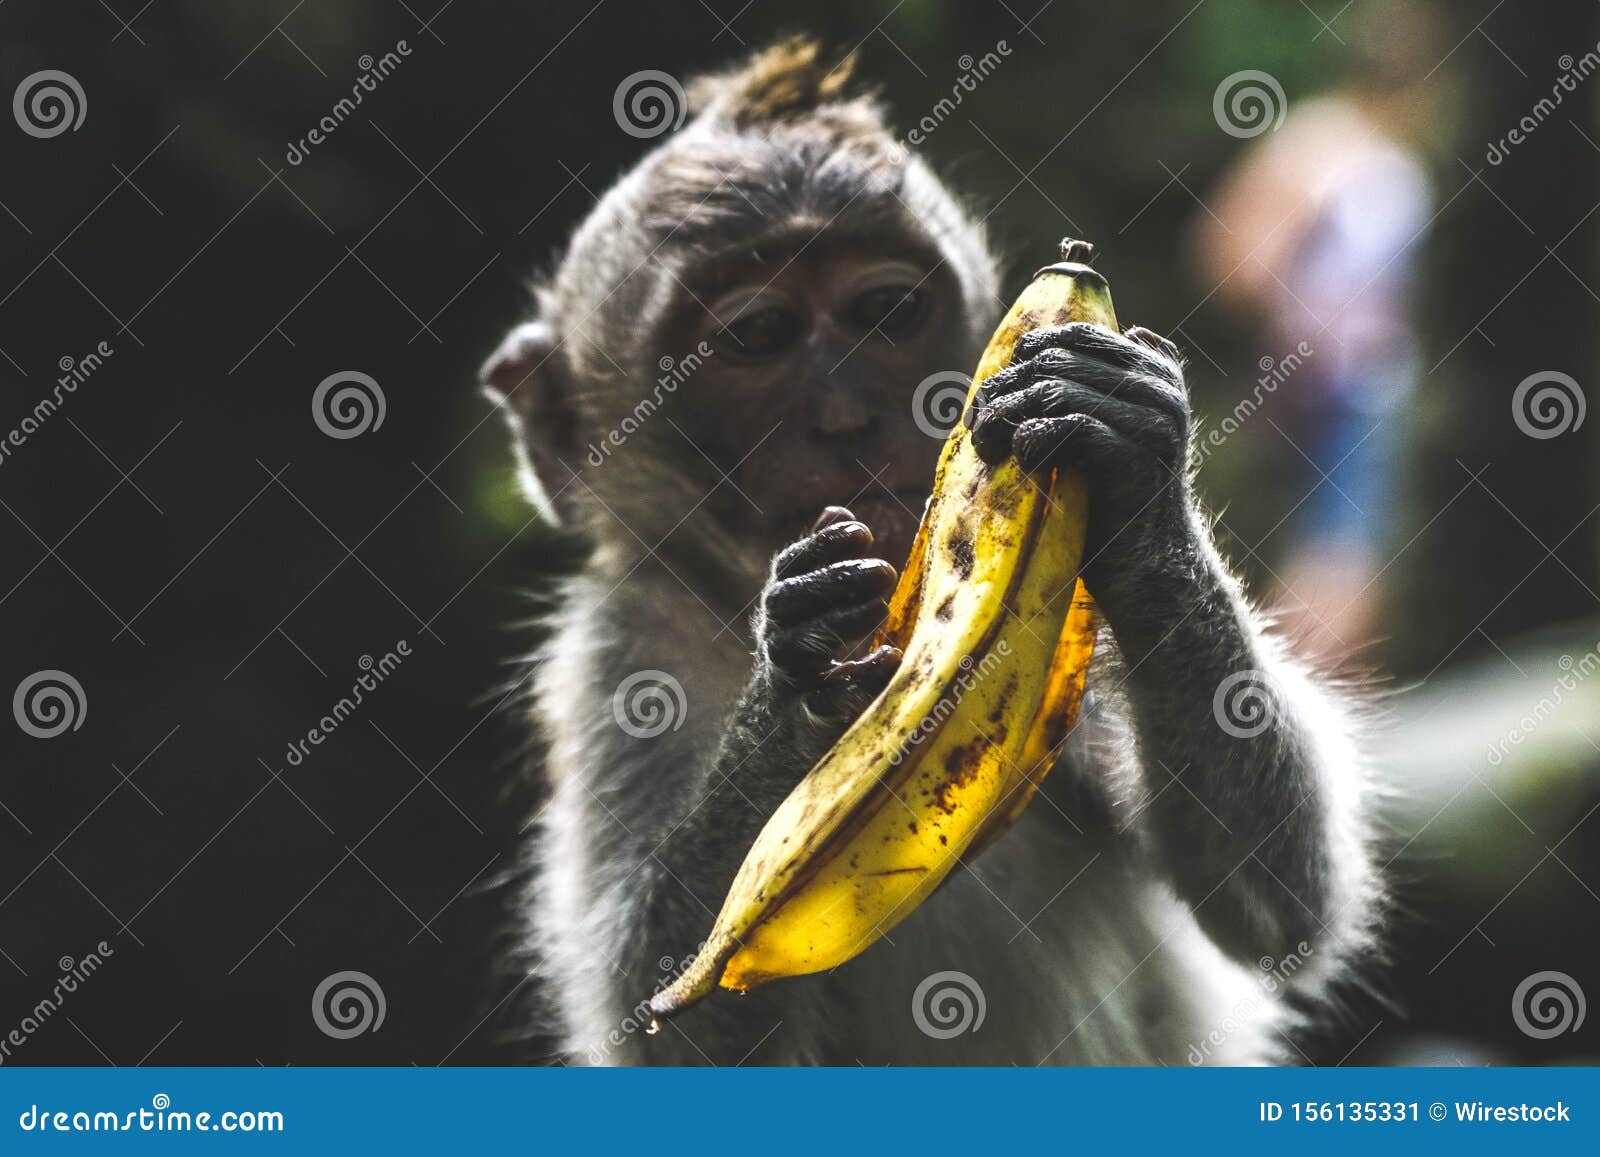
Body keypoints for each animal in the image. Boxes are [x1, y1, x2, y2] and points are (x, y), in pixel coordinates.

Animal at [480, 38, 1382, 1068]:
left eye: (885, 311)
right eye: (760, 335)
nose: (847, 415)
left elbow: (1276, 905)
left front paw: (1144, 489)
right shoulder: (614, 655)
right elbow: (660, 1026)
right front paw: (798, 673)